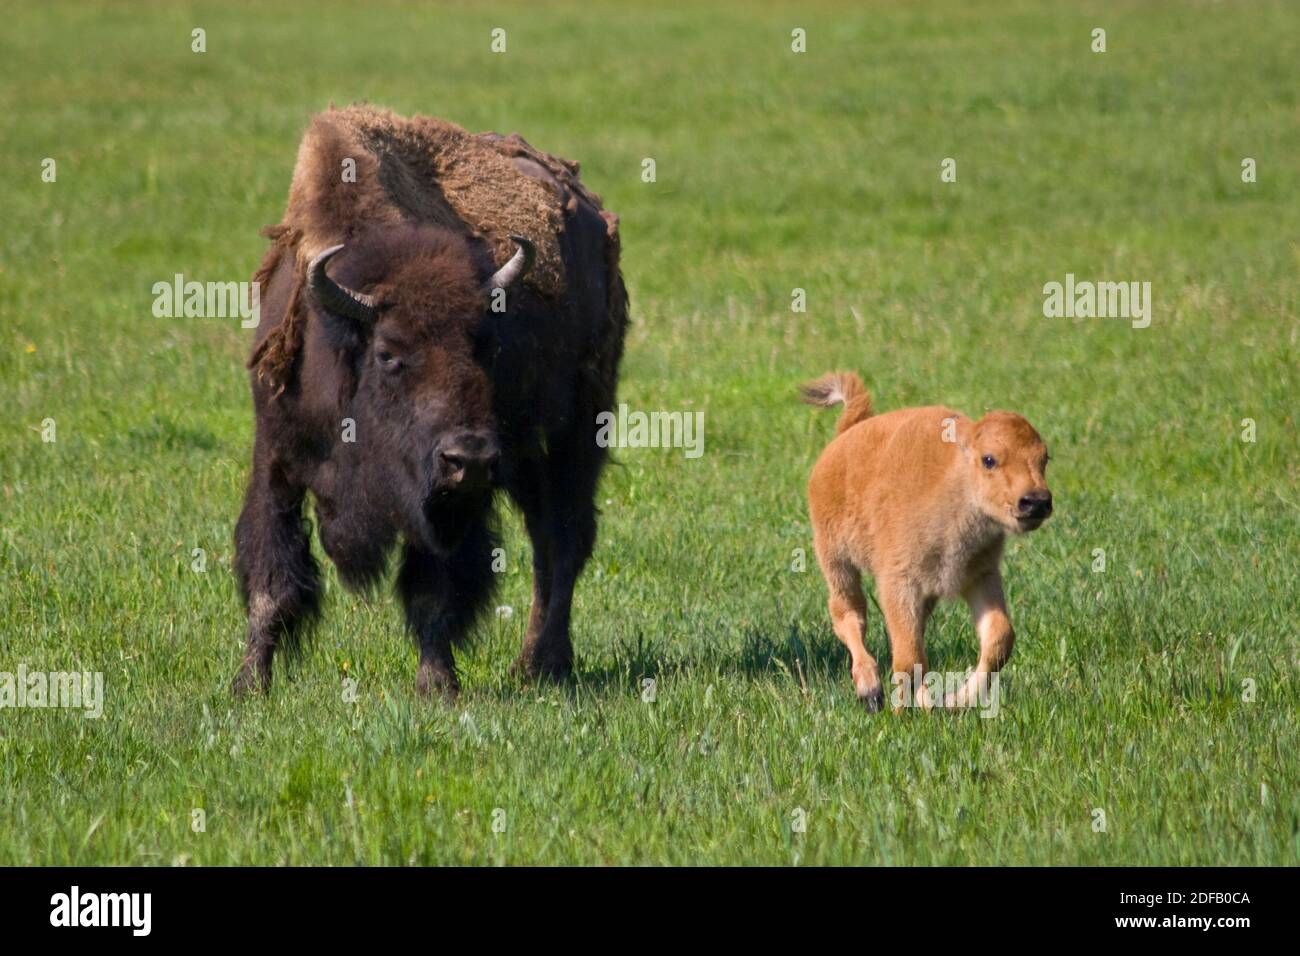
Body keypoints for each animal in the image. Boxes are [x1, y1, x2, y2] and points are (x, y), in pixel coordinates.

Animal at [232, 107, 627, 698]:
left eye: (487, 345)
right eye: (389, 354)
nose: (469, 458)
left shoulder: (450, 503)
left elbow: (435, 590)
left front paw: (438, 685)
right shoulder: (276, 463)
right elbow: (271, 582)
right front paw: (248, 685)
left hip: (575, 436)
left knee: (563, 540)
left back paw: (541, 665)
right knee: (547, 541)